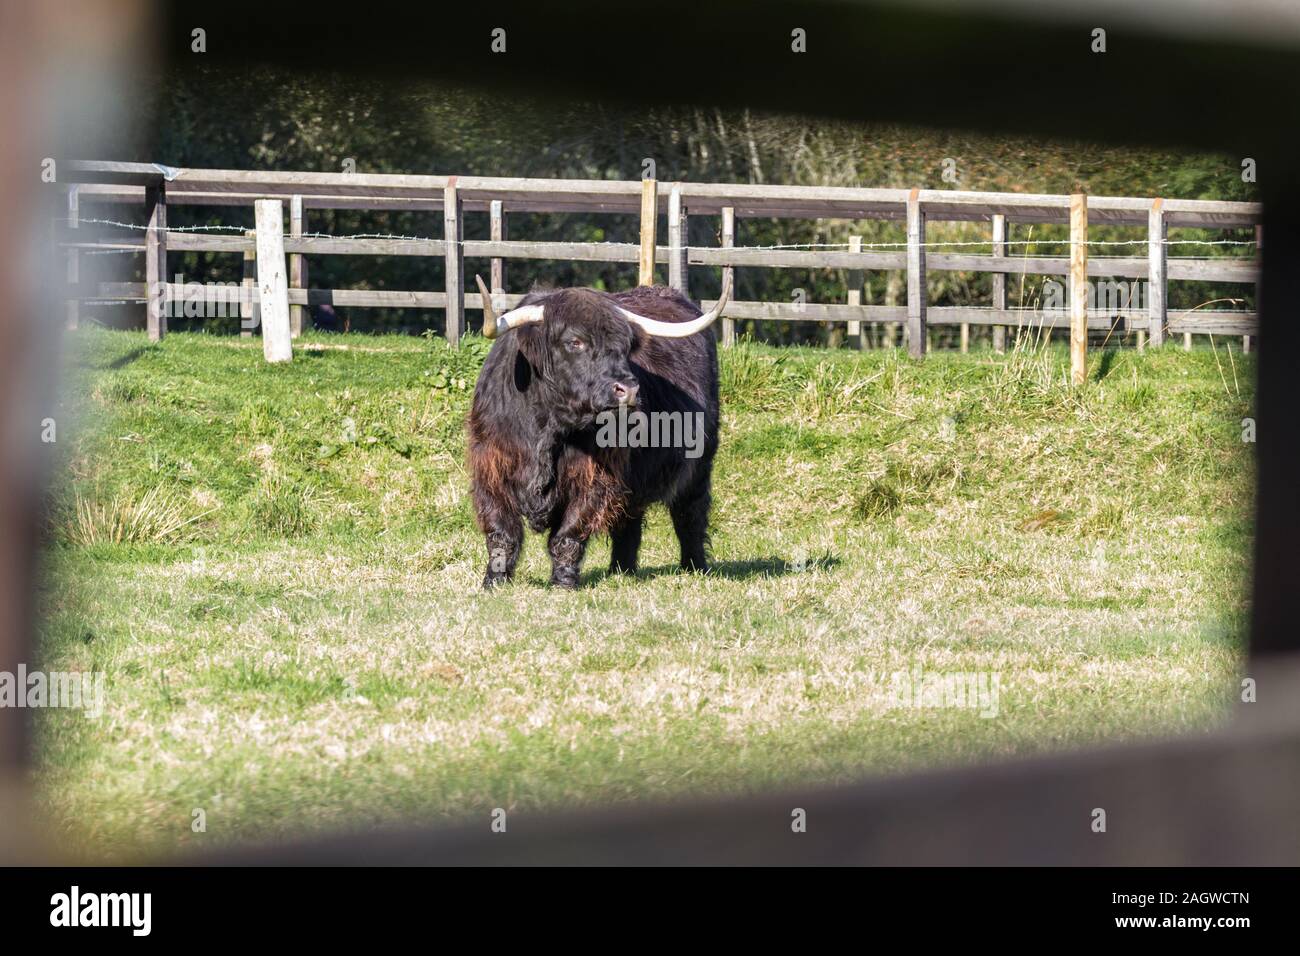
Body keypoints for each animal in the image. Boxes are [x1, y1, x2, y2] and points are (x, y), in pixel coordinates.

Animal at [466, 272, 731, 588]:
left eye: (624, 347)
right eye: (574, 342)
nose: (628, 390)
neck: (547, 428)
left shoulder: (594, 477)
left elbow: (568, 534)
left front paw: (563, 584)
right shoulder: (490, 466)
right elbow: (501, 534)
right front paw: (494, 581)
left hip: (700, 464)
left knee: (690, 515)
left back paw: (694, 567)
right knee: (629, 521)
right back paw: (621, 571)